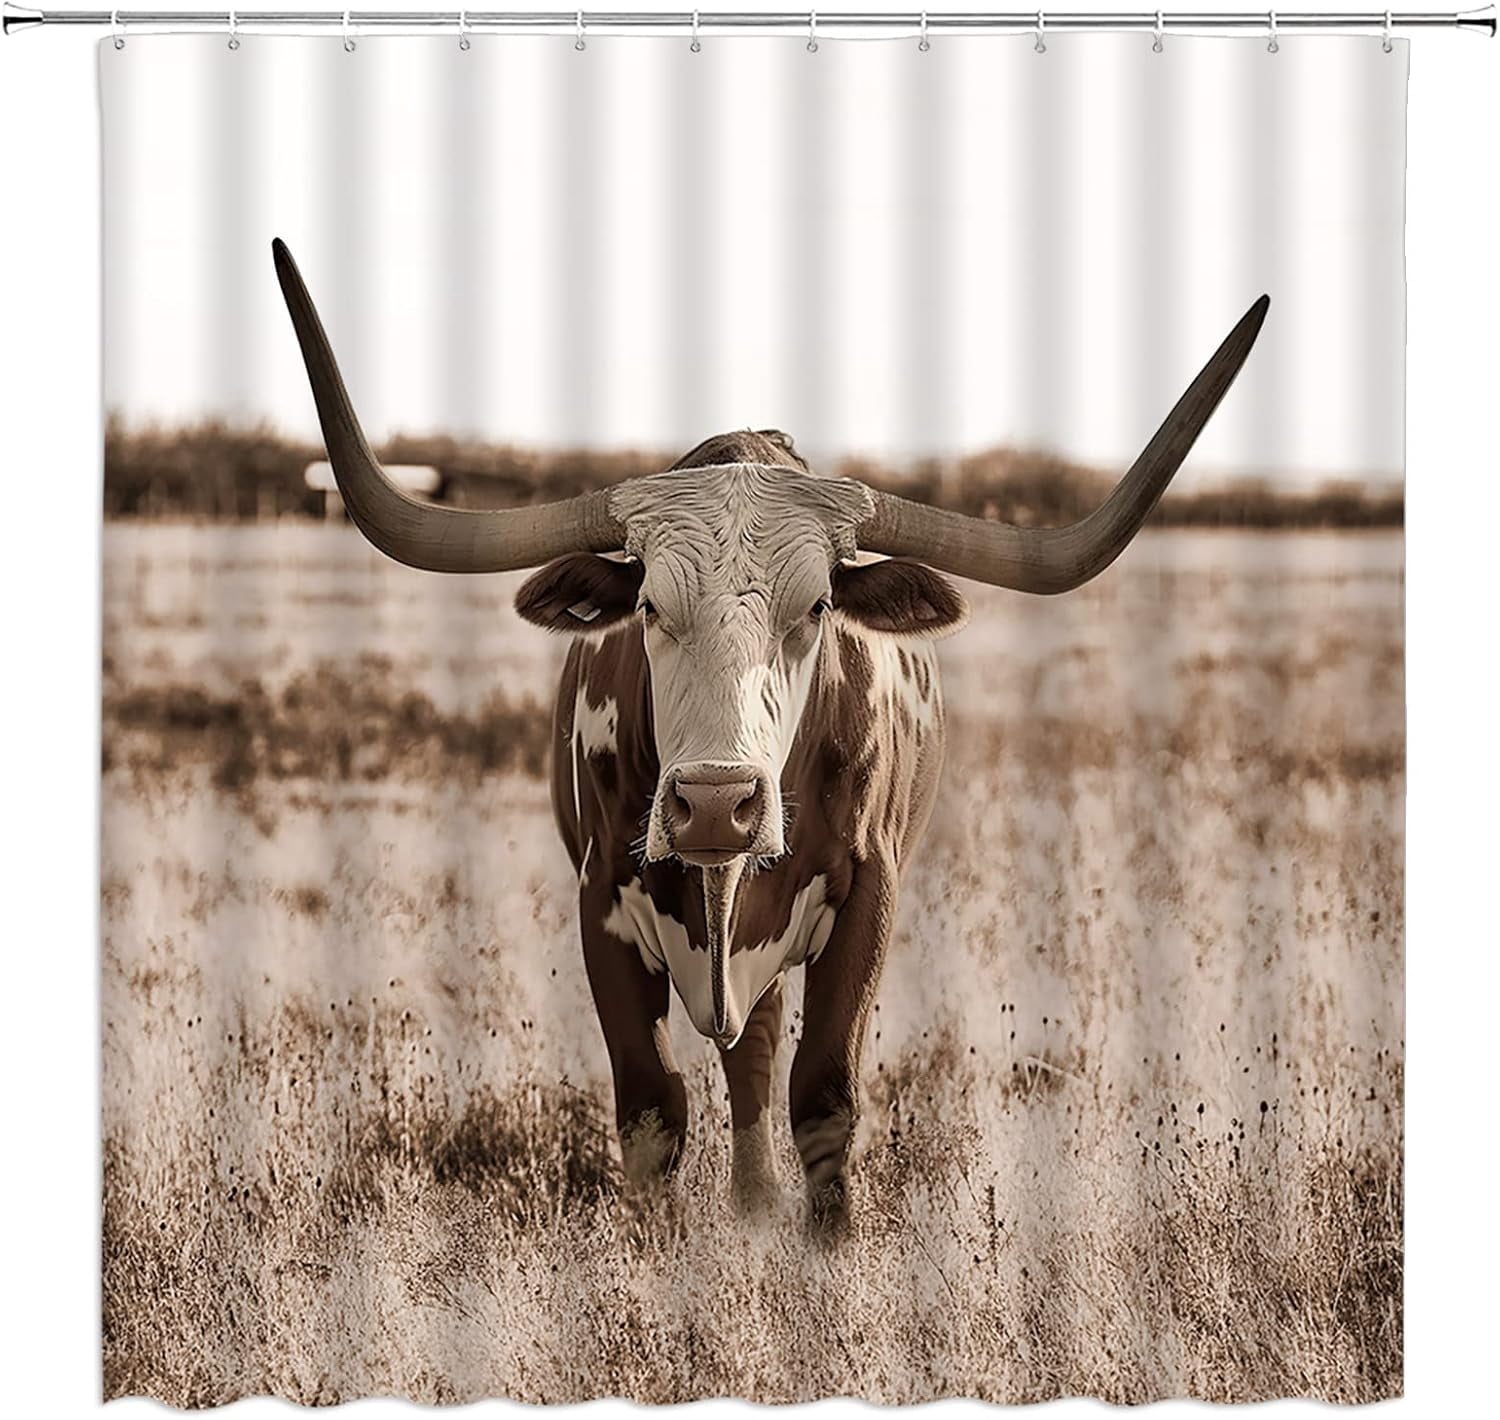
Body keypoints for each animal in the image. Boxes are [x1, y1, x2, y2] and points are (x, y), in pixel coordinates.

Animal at [273, 238, 1267, 1226]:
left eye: (818, 605)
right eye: (648, 604)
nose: (717, 805)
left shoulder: (869, 897)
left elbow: (823, 1099)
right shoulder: (601, 903)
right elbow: (652, 1110)